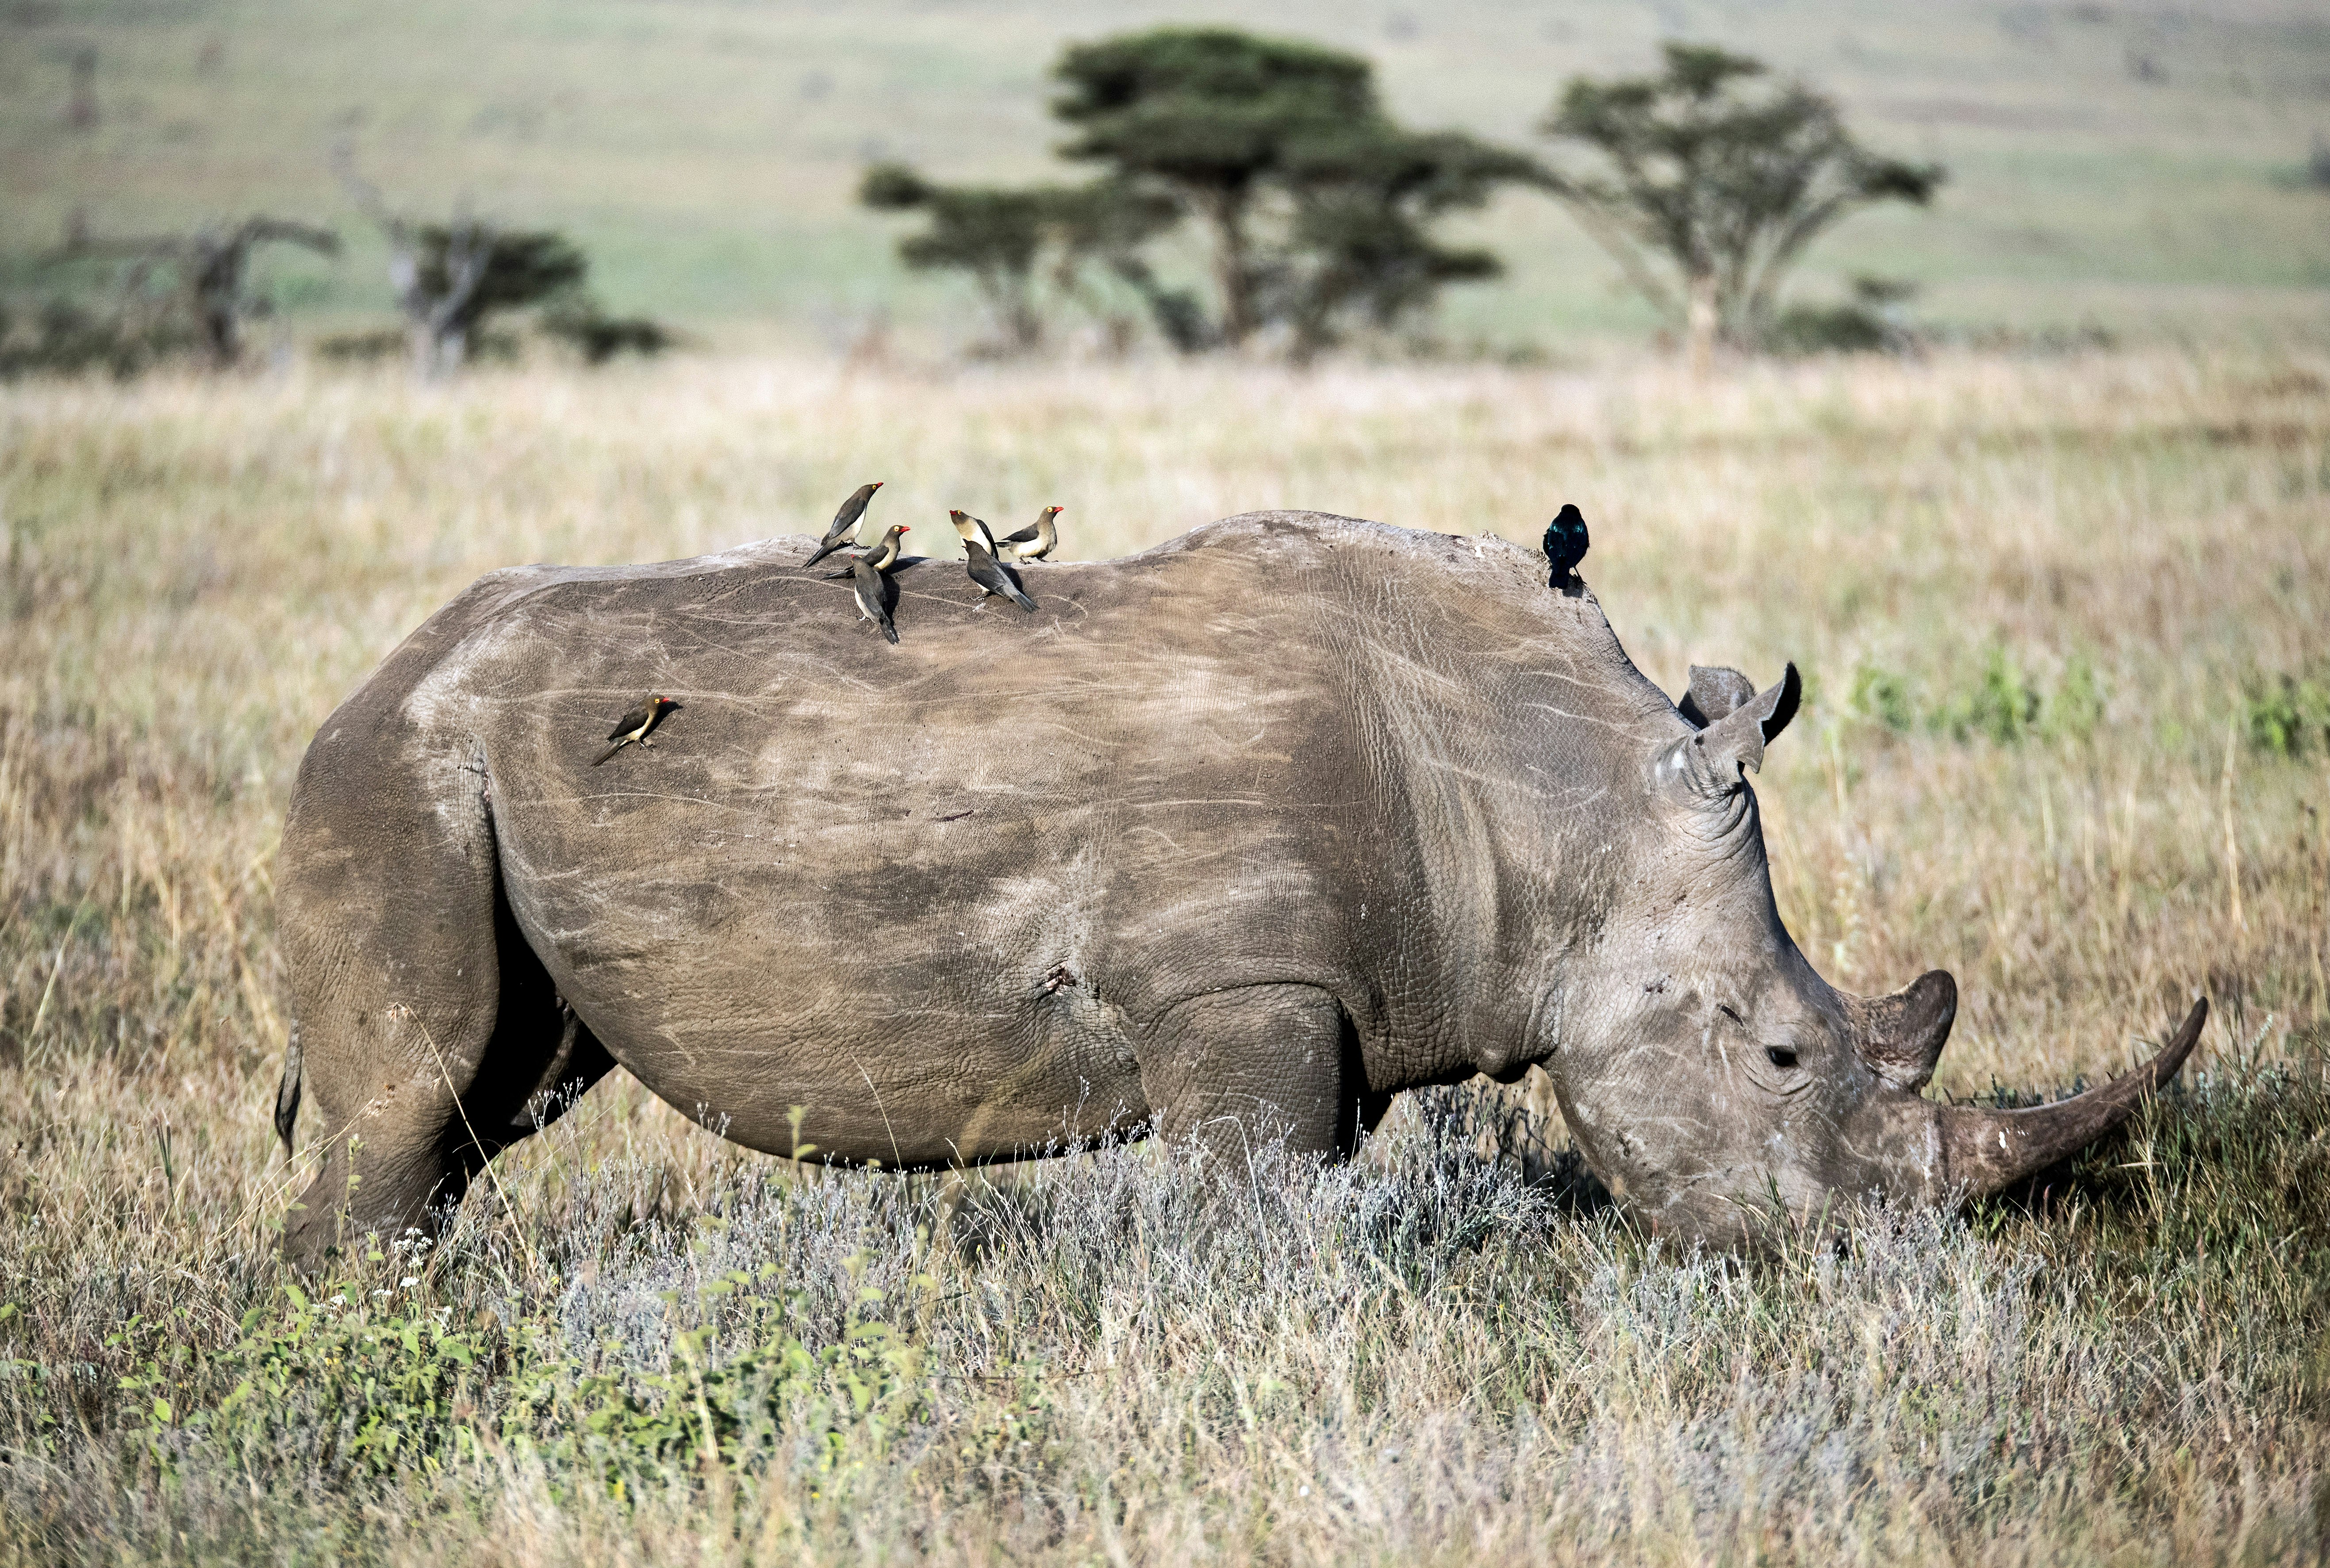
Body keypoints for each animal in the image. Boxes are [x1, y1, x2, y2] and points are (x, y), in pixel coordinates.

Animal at [273, 511, 2202, 1264]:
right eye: (1785, 1057)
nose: (1877, 1262)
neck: (1557, 802)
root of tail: (372, 673)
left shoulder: (1327, 999)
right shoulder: (1237, 988)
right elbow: (1256, 1215)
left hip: (454, 772)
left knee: (496, 1097)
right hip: (397, 773)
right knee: (418, 1091)